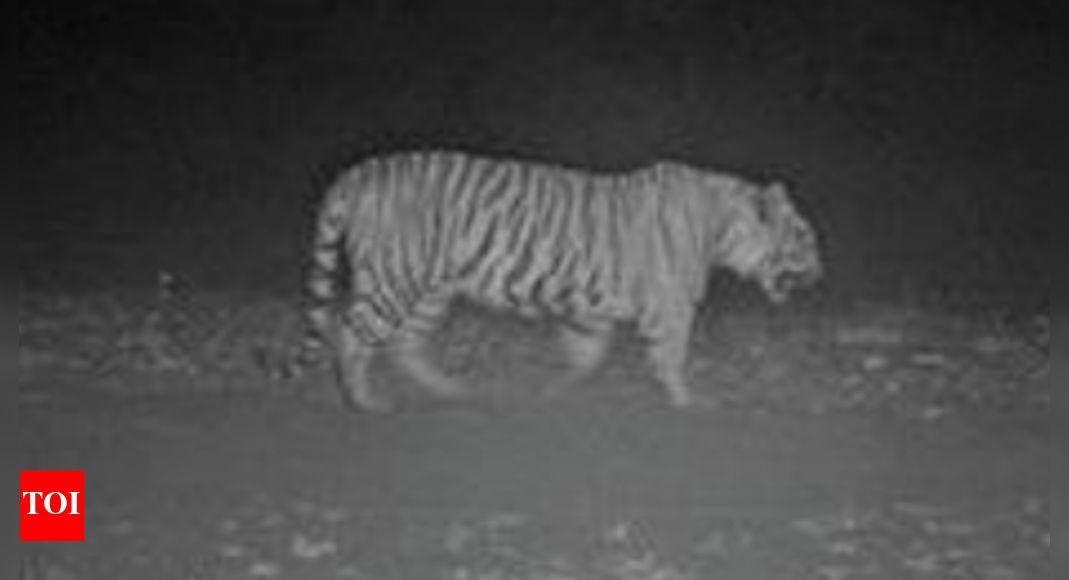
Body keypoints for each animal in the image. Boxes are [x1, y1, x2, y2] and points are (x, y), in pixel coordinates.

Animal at [302, 150, 821, 412]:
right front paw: (689, 401)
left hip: (431, 290)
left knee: (404, 344)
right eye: (803, 236)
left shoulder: (592, 308)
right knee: (349, 332)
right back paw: (362, 400)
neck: (722, 229)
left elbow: (585, 356)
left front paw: (553, 393)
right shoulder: (670, 306)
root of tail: (357, 172)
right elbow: (671, 356)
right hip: (396, 279)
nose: (822, 269)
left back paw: (452, 393)